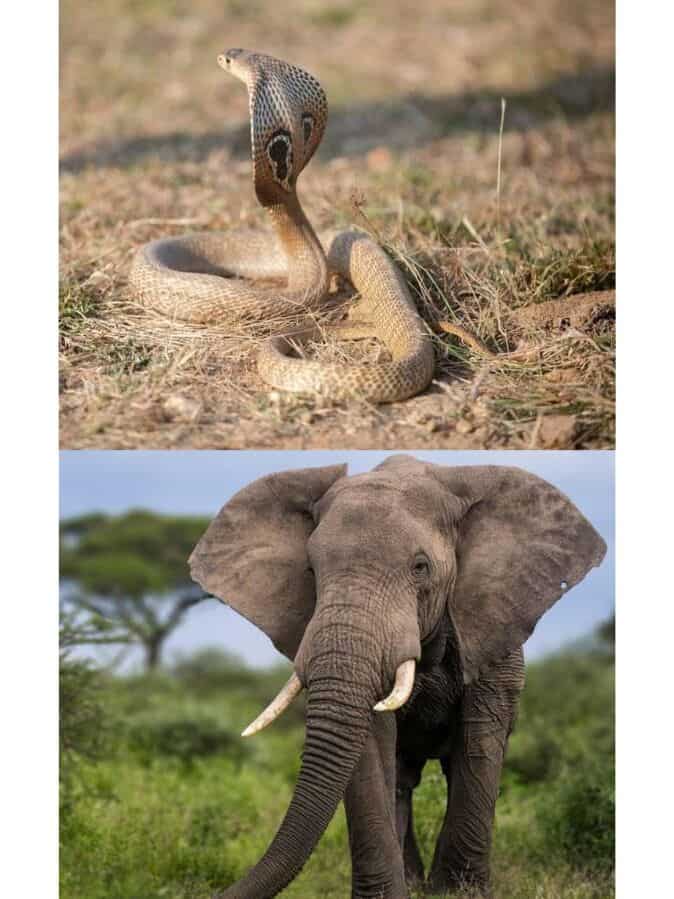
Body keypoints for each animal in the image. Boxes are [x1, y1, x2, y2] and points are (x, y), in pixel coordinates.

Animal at [189, 454, 607, 898]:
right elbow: (371, 743)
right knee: (402, 781)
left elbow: (478, 743)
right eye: (311, 571)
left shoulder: (492, 623)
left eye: (420, 567)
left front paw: (459, 893)